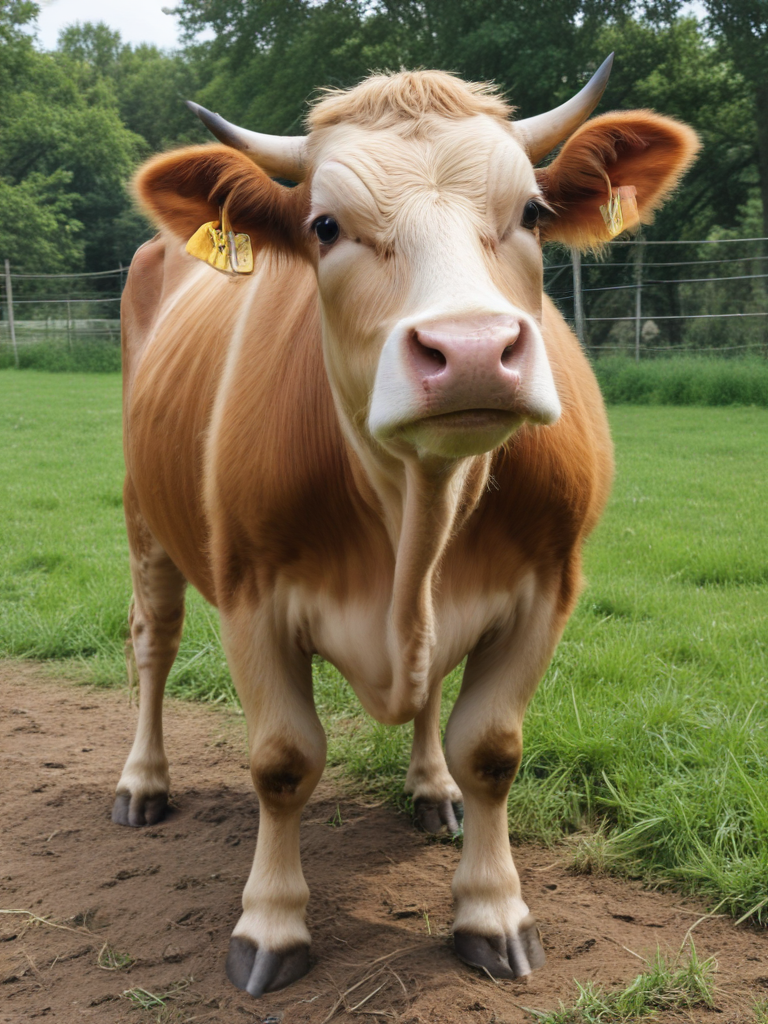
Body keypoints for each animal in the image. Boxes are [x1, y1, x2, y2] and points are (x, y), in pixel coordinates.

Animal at [115, 59, 698, 998]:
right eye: (324, 225)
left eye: (532, 212)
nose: (473, 349)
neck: (419, 503)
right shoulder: (249, 592)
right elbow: (282, 761)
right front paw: (270, 925)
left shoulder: (549, 586)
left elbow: (490, 749)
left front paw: (492, 911)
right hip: (145, 517)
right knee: (153, 643)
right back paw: (143, 782)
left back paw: (430, 790)